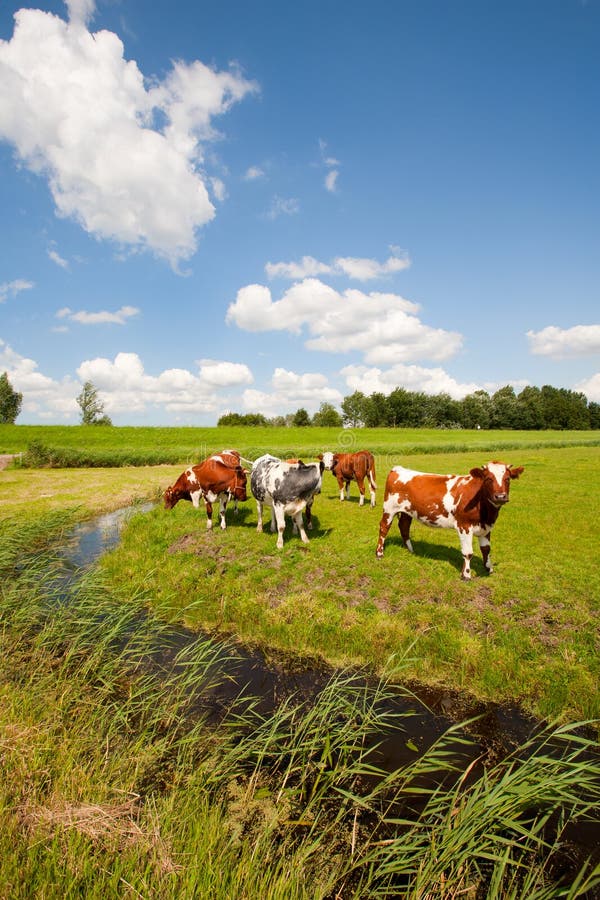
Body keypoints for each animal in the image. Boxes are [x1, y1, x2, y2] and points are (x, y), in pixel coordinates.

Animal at [375, 461, 524, 579]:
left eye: (508, 479)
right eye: (488, 479)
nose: (500, 496)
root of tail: (398, 469)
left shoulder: (486, 527)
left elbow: (486, 549)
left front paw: (489, 568)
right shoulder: (464, 526)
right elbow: (468, 552)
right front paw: (466, 575)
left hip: (408, 512)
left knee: (404, 526)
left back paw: (410, 550)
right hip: (389, 508)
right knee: (384, 528)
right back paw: (379, 553)